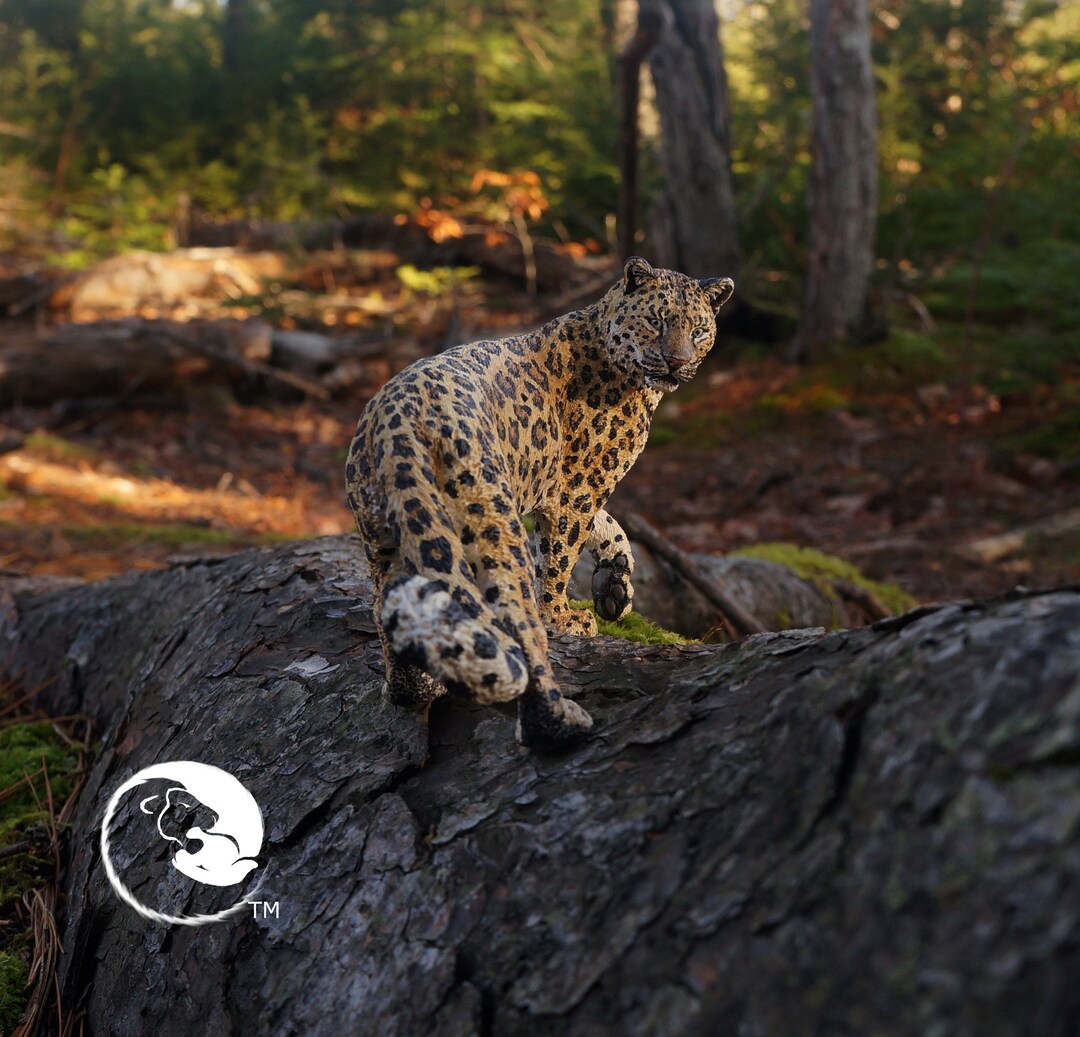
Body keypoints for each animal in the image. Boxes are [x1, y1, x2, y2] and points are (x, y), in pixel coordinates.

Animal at [345, 256, 734, 750]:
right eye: (656, 321)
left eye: (699, 330)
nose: (677, 361)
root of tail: (398, 418)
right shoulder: (578, 487)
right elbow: (559, 556)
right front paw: (565, 617)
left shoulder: (569, 485)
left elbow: (607, 525)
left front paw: (616, 584)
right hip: (491, 519)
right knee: (518, 621)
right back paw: (559, 722)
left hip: (384, 532)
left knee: (389, 606)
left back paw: (410, 689)